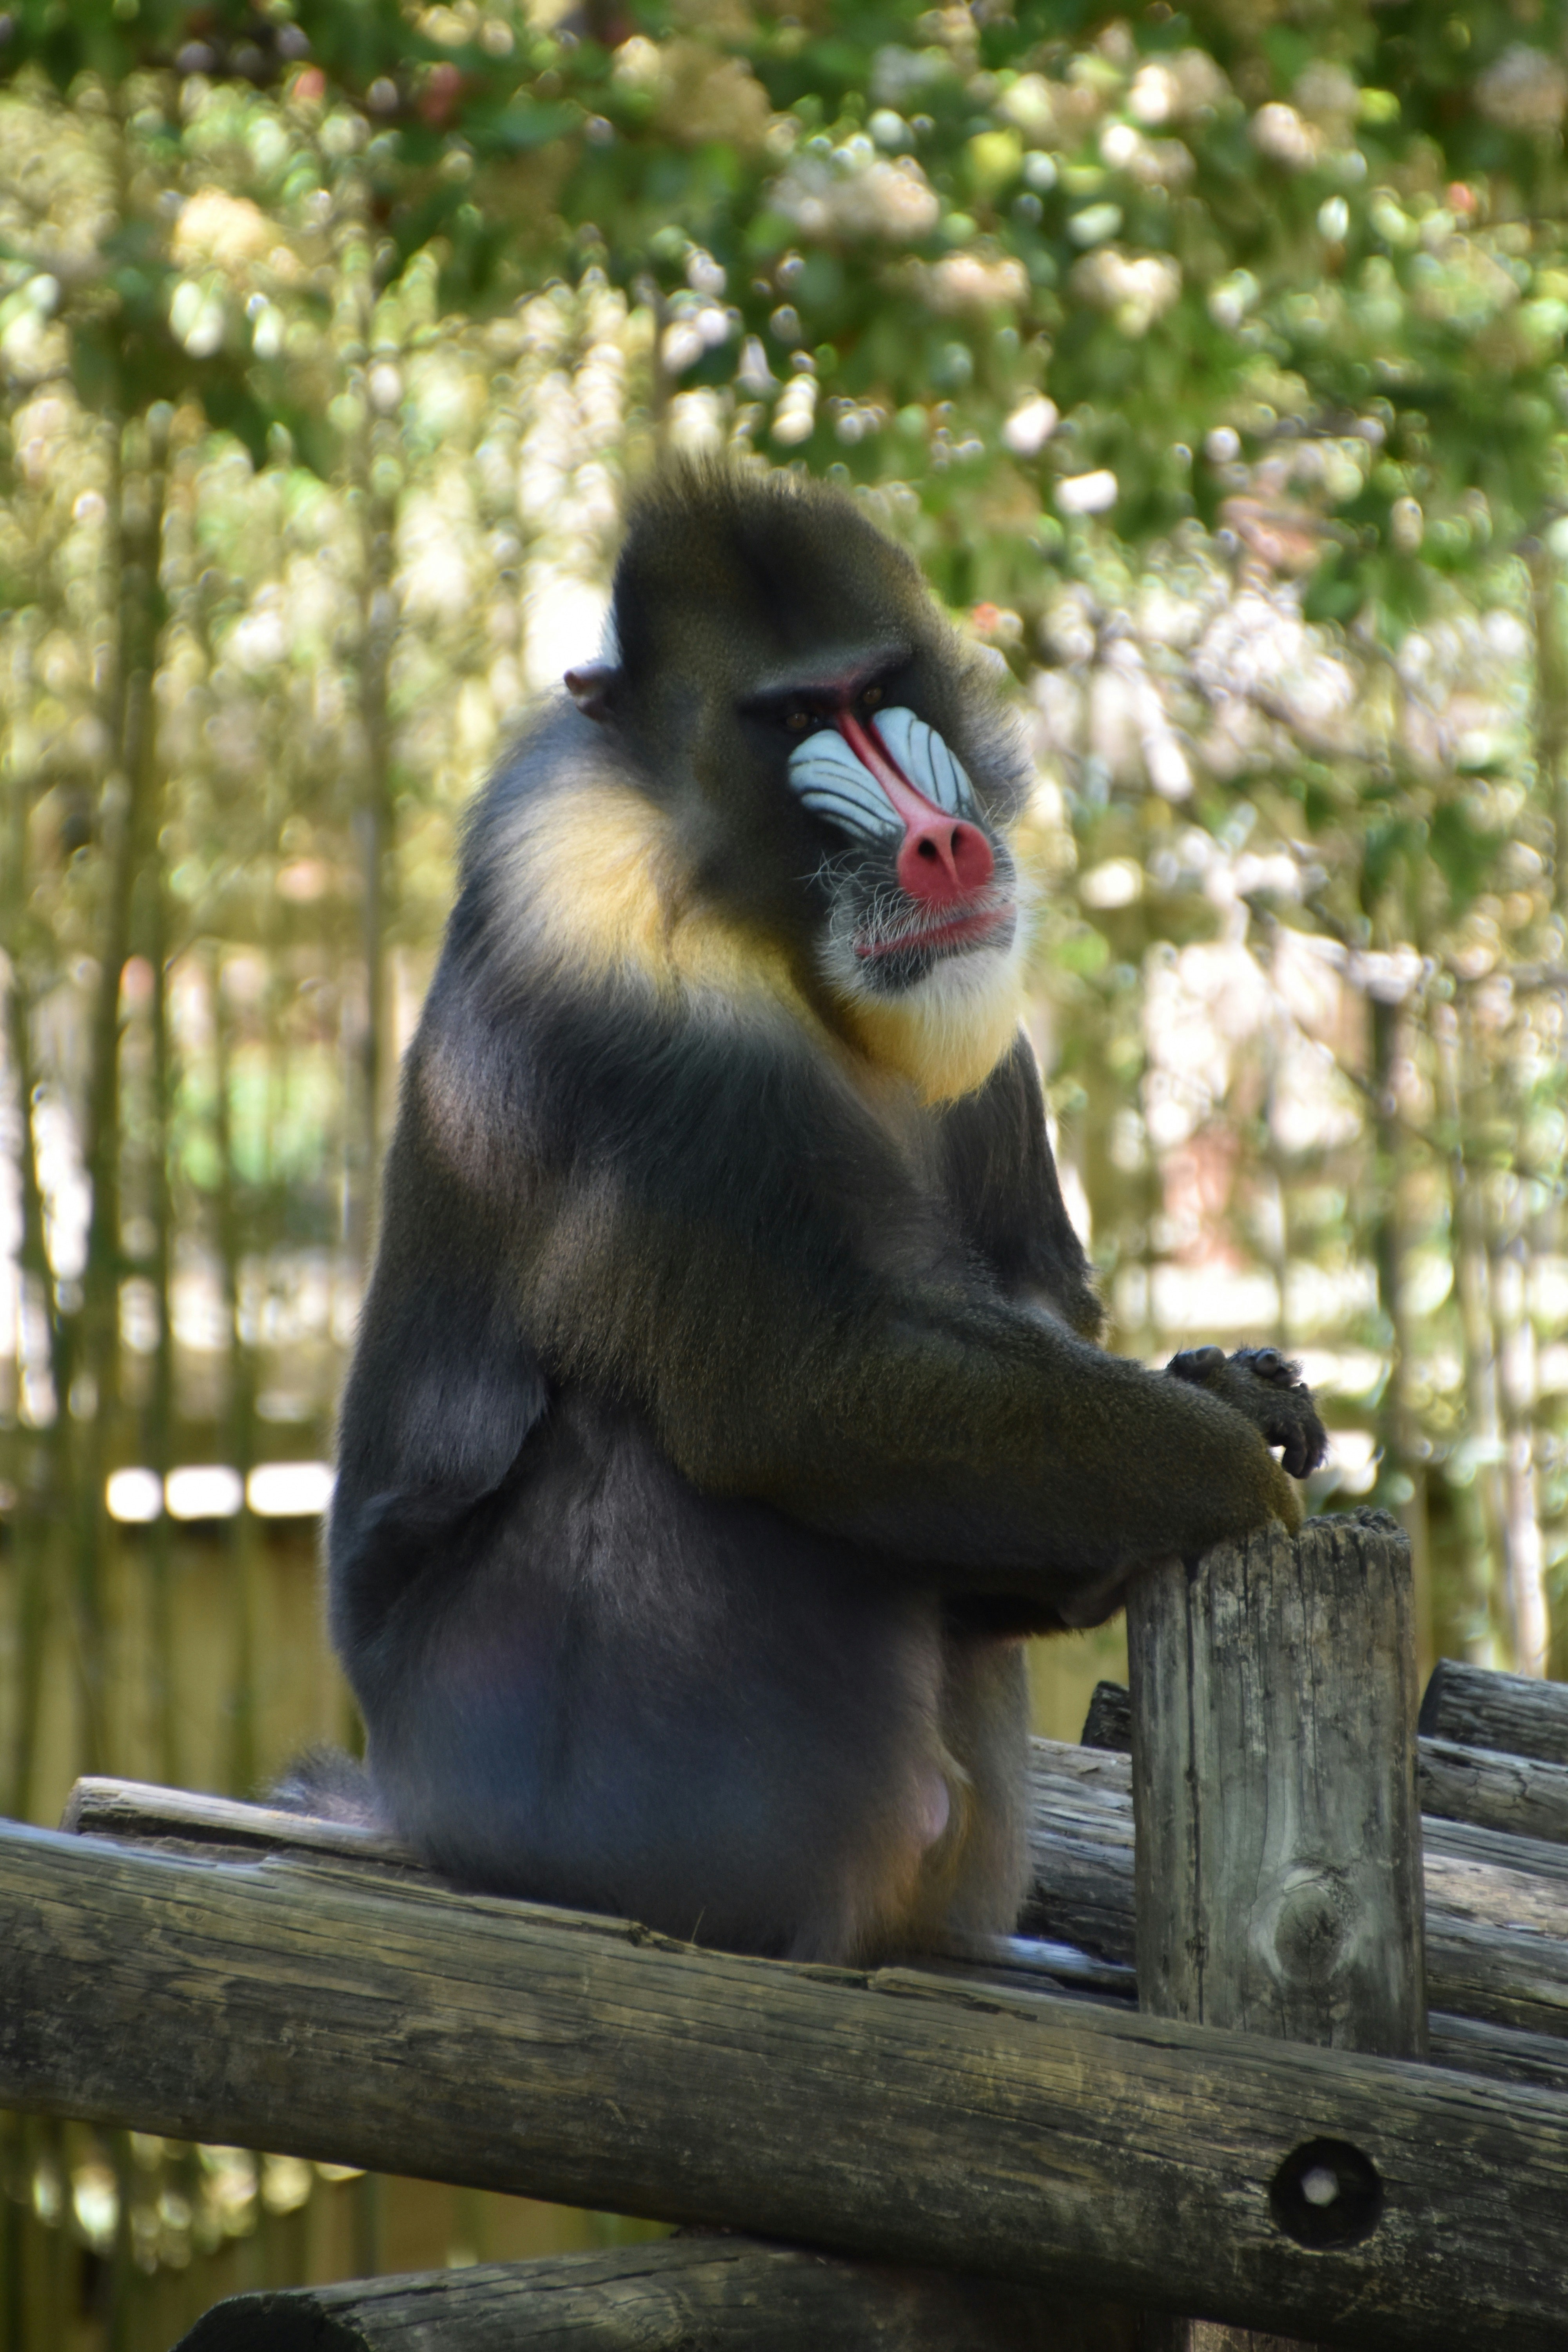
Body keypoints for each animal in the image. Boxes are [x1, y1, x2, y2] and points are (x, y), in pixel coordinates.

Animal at [306, 463, 1326, 1967]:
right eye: (794, 722)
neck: (773, 919)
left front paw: (1229, 1385)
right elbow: (809, 1378)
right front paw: (1233, 1470)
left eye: (878, 690)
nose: (943, 844)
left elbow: (1028, 1296)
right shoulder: (606, 941)